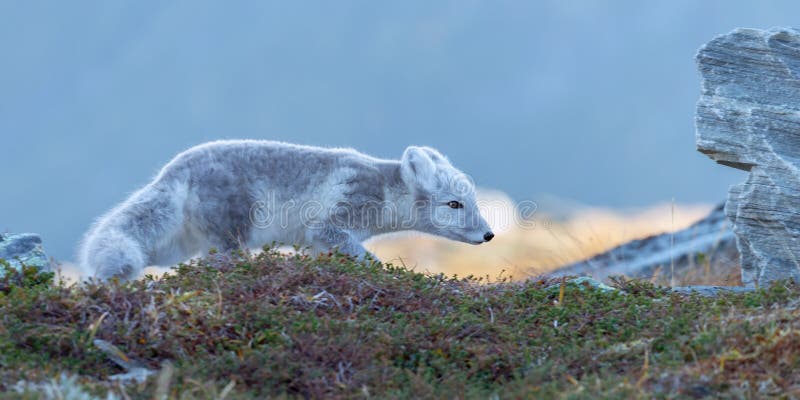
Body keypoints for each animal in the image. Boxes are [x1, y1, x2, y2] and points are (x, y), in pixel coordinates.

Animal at [78, 140, 495, 280]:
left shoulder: (317, 243)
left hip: (176, 247)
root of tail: (172, 171)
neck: (384, 189)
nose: (489, 234)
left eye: (473, 202)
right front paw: (383, 272)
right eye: (454, 204)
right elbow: (361, 253)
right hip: (231, 235)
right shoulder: (332, 223)